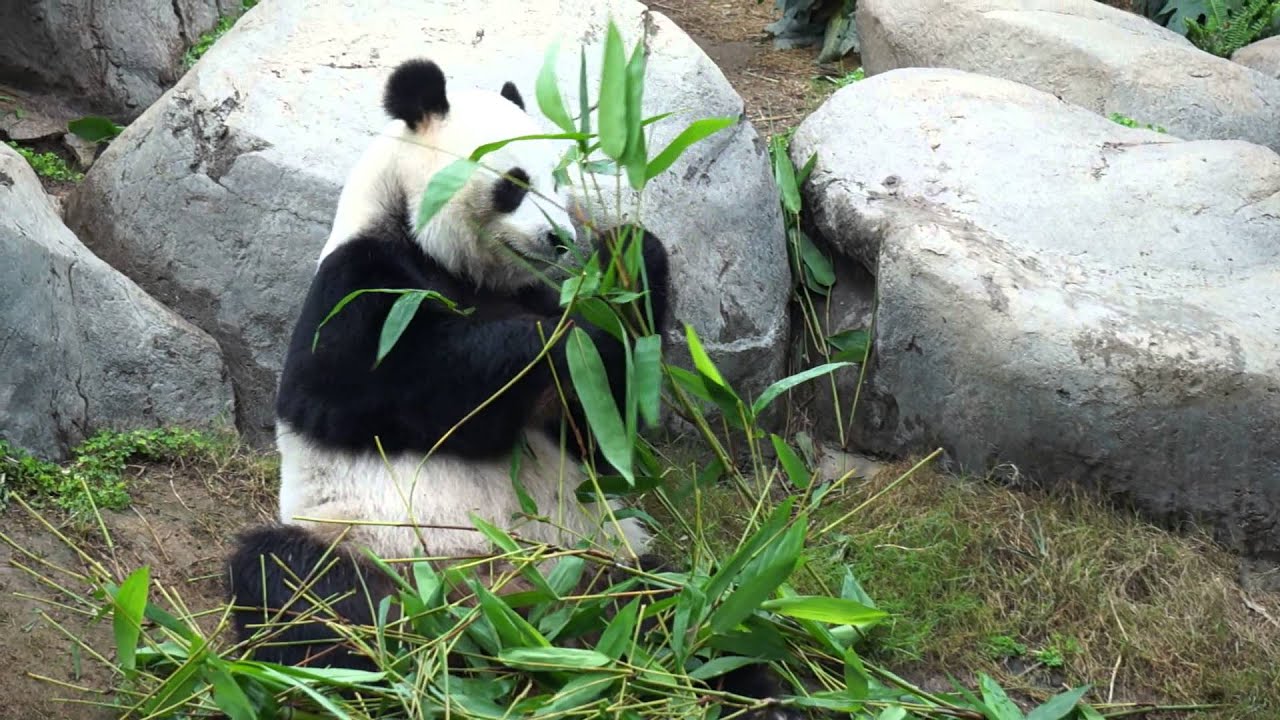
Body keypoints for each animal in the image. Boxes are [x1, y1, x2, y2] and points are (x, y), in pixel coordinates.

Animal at [225, 57, 806, 719]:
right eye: (514, 182)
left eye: (561, 177)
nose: (560, 240)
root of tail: (523, 618)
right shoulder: (358, 284)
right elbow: (379, 387)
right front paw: (550, 340)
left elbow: (603, 433)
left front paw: (626, 259)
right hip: (379, 549)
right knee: (303, 589)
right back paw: (412, 666)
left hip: (604, 560)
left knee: (682, 606)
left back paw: (746, 688)